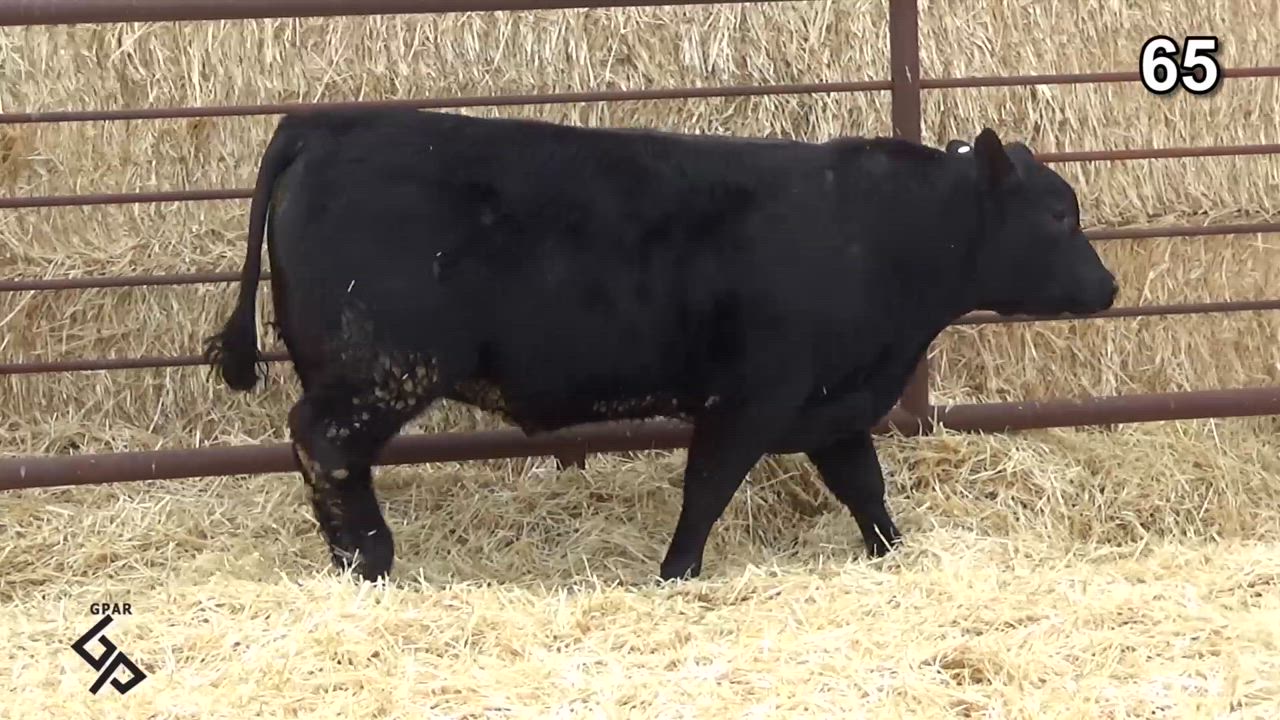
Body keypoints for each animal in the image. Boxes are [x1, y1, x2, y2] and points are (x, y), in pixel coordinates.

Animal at [203, 108, 1118, 583]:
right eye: (1058, 214)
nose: (1108, 287)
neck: (879, 231)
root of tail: (324, 122)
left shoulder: (831, 405)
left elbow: (864, 486)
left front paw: (892, 554)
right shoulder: (752, 398)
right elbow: (706, 487)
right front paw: (676, 572)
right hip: (383, 368)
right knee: (323, 444)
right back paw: (369, 558)